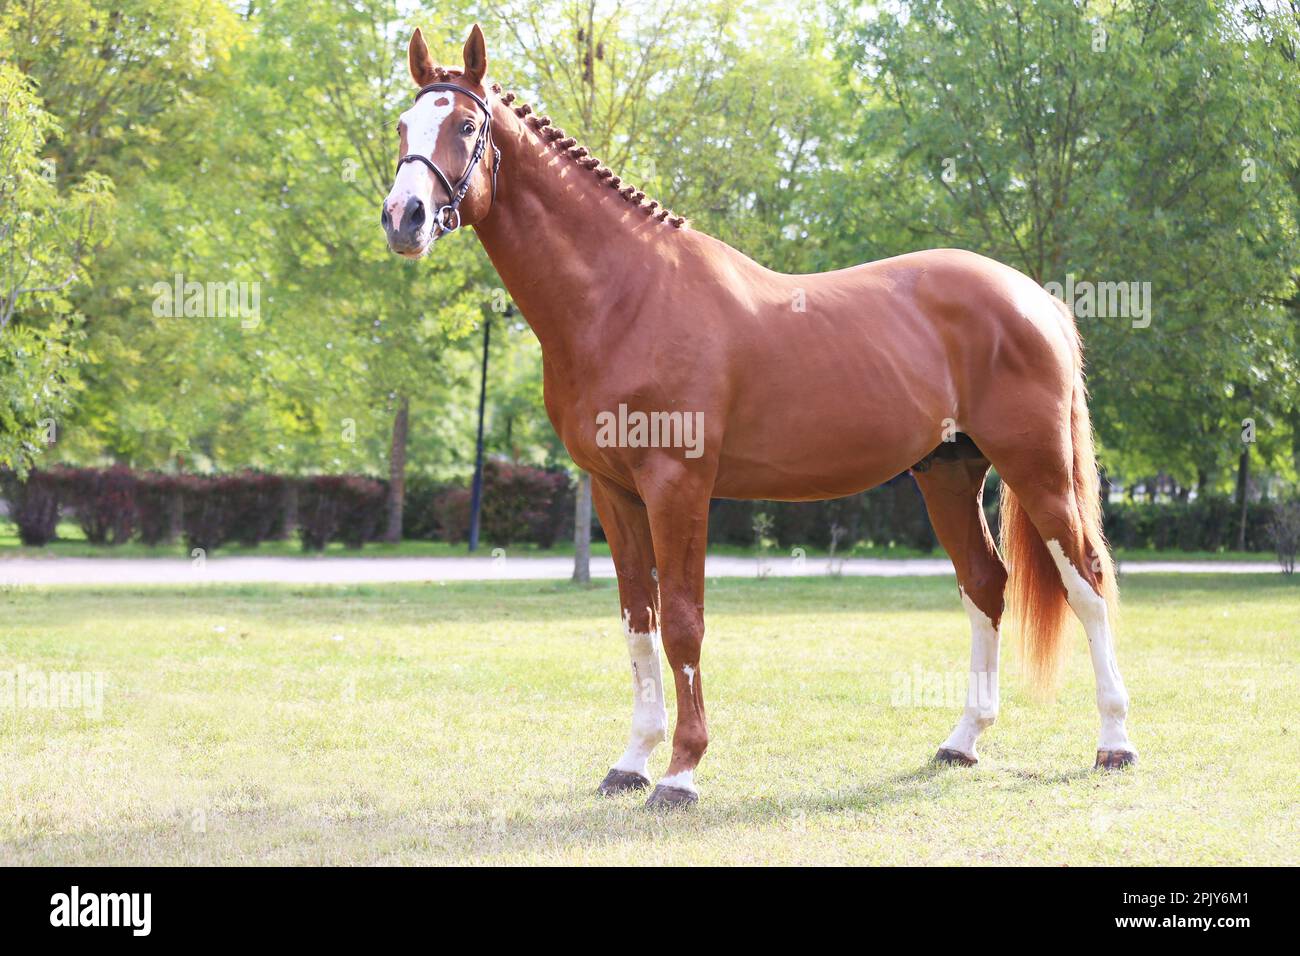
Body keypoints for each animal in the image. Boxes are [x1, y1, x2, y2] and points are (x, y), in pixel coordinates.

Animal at [382, 25, 1136, 809]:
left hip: (1038, 469)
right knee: (985, 585)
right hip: (949, 474)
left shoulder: (677, 487)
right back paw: (961, 743)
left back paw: (1114, 742)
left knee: (1087, 580)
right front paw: (632, 761)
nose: (403, 219)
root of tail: (1035, 297)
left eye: (466, 127)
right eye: (403, 125)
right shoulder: (615, 494)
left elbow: (683, 625)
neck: (628, 297)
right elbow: (638, 622)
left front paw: (680, 772)